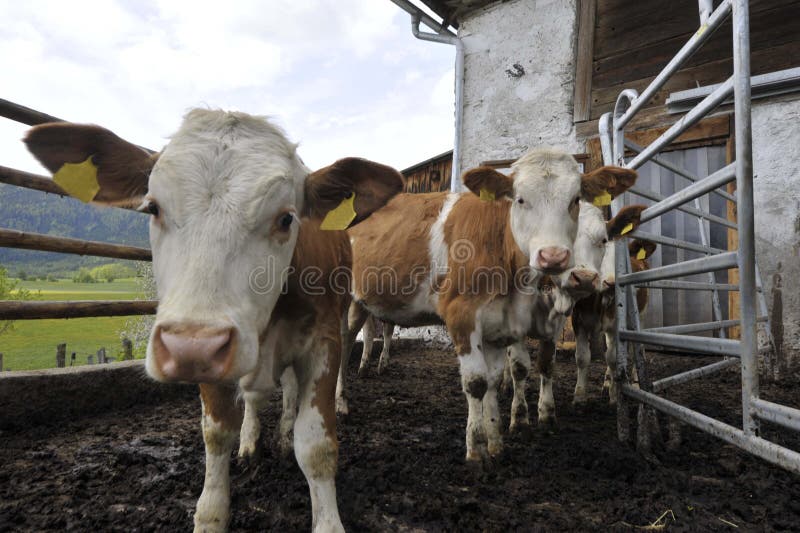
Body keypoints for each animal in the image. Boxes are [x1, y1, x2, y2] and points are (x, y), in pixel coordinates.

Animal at [24, 110, 404, 532]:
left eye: (286, 218)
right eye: (152, 208)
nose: (190, 347)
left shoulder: (322, 343)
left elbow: (316, 446)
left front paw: (326, 516)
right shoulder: (204, 347)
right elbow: (217, 433)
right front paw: (211, 513)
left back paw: (282, 432)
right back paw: (252, 440)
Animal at [339, 147, 637, 461]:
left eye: (575, 199)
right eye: (520, 199)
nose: (554, 257)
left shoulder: (507, 324)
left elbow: (499, 378)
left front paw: (497, 441)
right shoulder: (461, 316)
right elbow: (478, 382)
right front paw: (477, 449)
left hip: (361, 303)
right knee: (343, 344)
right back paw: (341, 403)